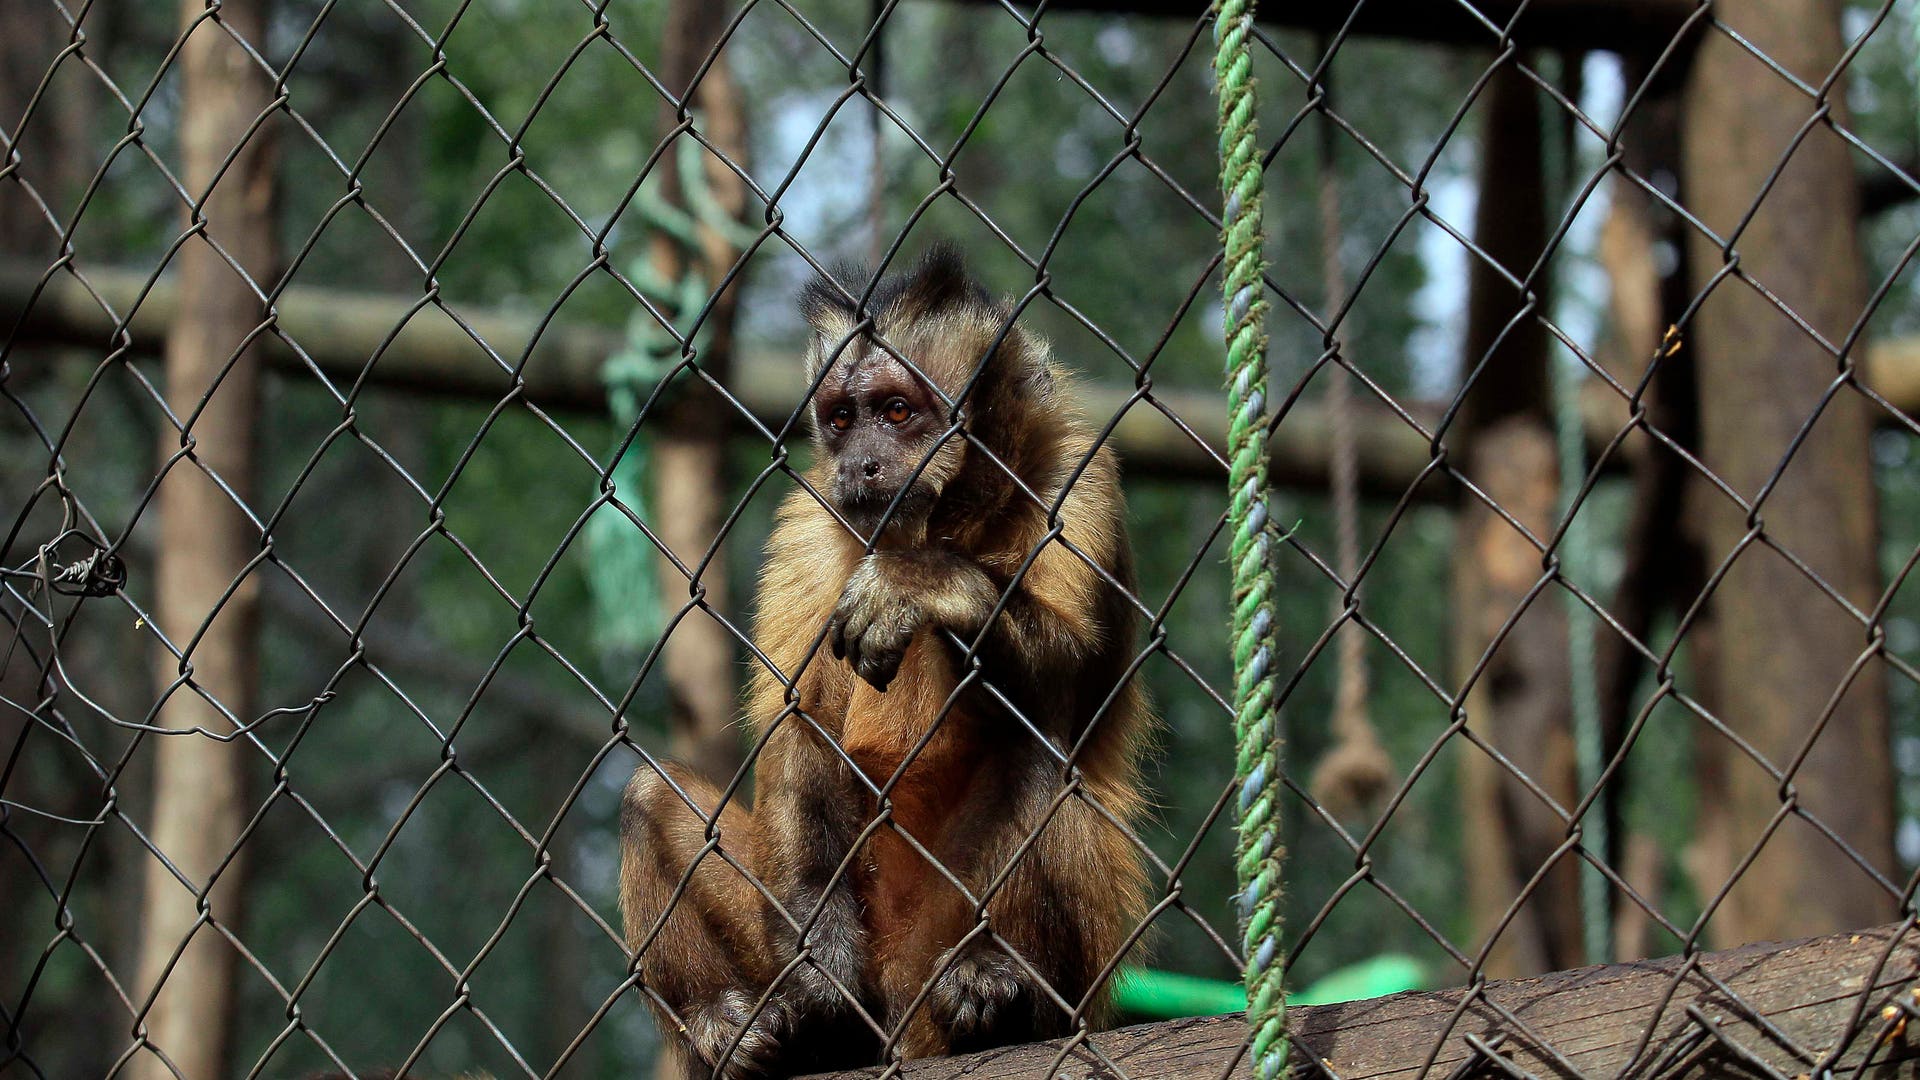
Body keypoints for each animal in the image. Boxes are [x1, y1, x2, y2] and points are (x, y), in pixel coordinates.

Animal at [620, 244, 1152, 1078]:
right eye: (842, 418)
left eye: (898, 411)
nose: (861, 464)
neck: (942, 524)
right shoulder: (810, 523)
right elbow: (801, 728)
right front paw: (817, 972)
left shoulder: (1079, 473)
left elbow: (1074, 683)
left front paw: (926, 585)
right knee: (651, 798)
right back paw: (742, 1029)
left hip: (954, 949)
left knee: (1039, 752)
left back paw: (1001, 993)